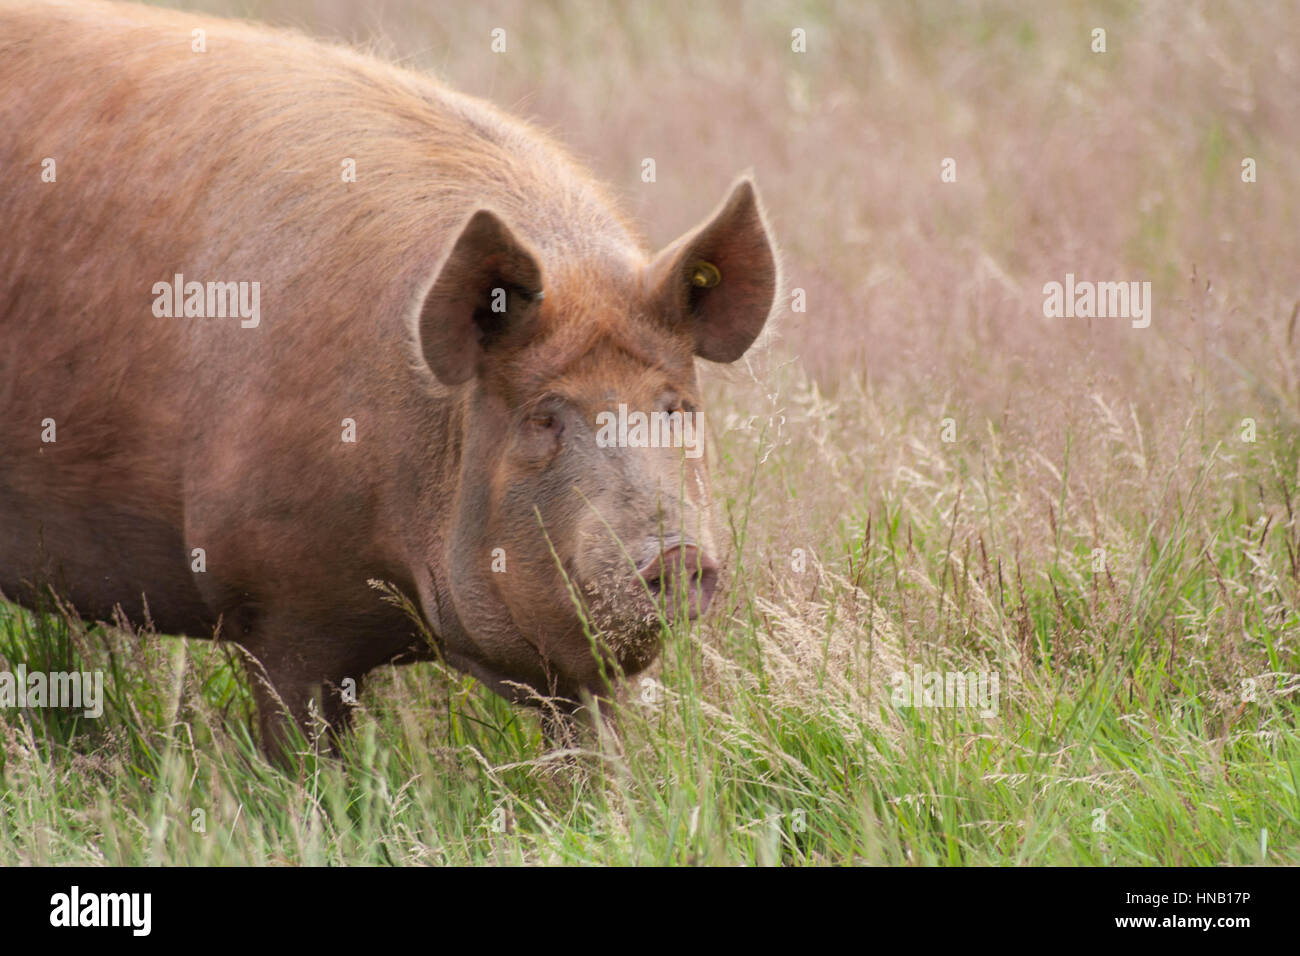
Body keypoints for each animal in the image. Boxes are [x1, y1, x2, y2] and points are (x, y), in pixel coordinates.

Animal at [0, 0, 777, 754]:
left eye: (677, 409)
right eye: (543, 416)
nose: (676, 553)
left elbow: (593, 743)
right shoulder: (272, 602)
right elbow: (302, 748)